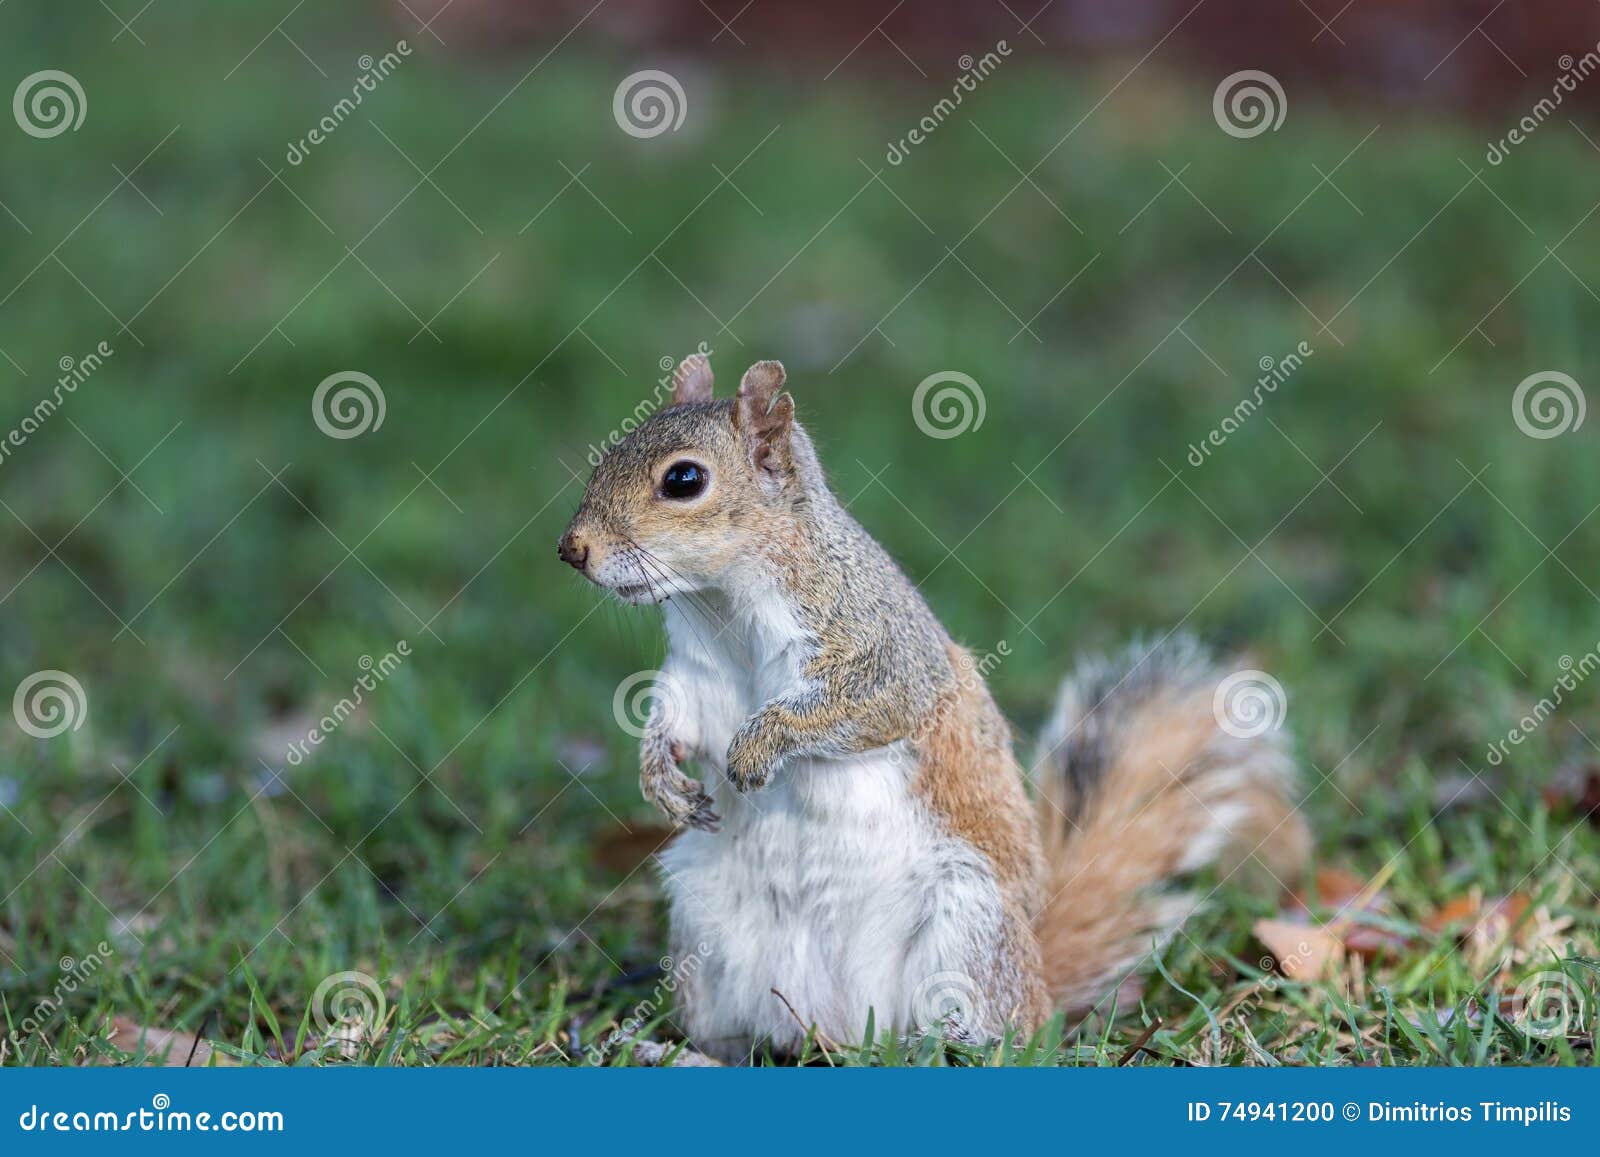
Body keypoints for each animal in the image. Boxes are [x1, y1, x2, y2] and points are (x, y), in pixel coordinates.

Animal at [558, 353, 1309, 1063]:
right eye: (606, 454)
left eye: (684, 480)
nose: (572, 549)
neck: (722, 605)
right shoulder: (697, 675)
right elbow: (675, 717)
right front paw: (659, 774)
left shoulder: (883, 650)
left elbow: (865, 705)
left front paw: (758, 745)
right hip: (705, 934)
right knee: (748, 1041)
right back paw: (680, 1054)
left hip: (965, 931)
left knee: (981, 1036)